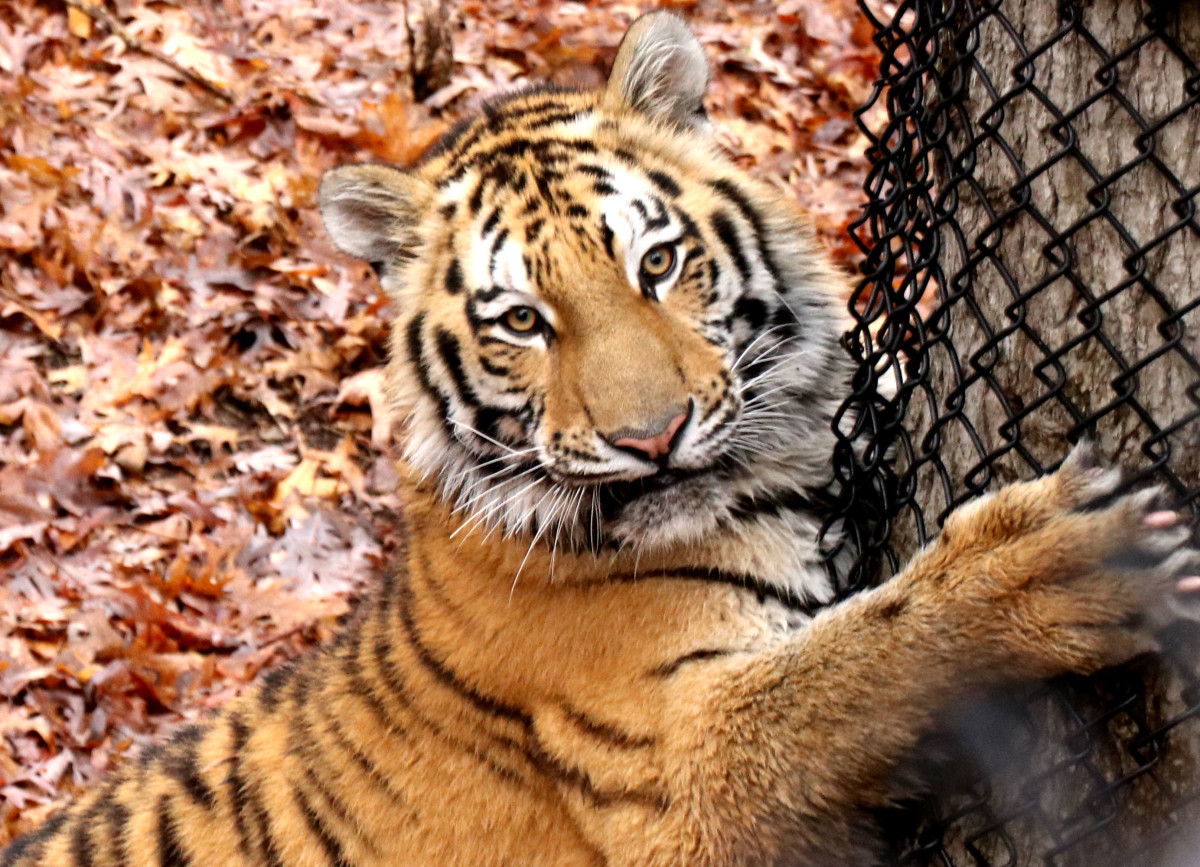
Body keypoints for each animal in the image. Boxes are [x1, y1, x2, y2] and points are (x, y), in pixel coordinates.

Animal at [4, 10, 1198, 867]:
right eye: (522, 322)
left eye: (657, 264)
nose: (652, 437)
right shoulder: (675, 773)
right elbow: (852, 668)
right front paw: (1051, 563)